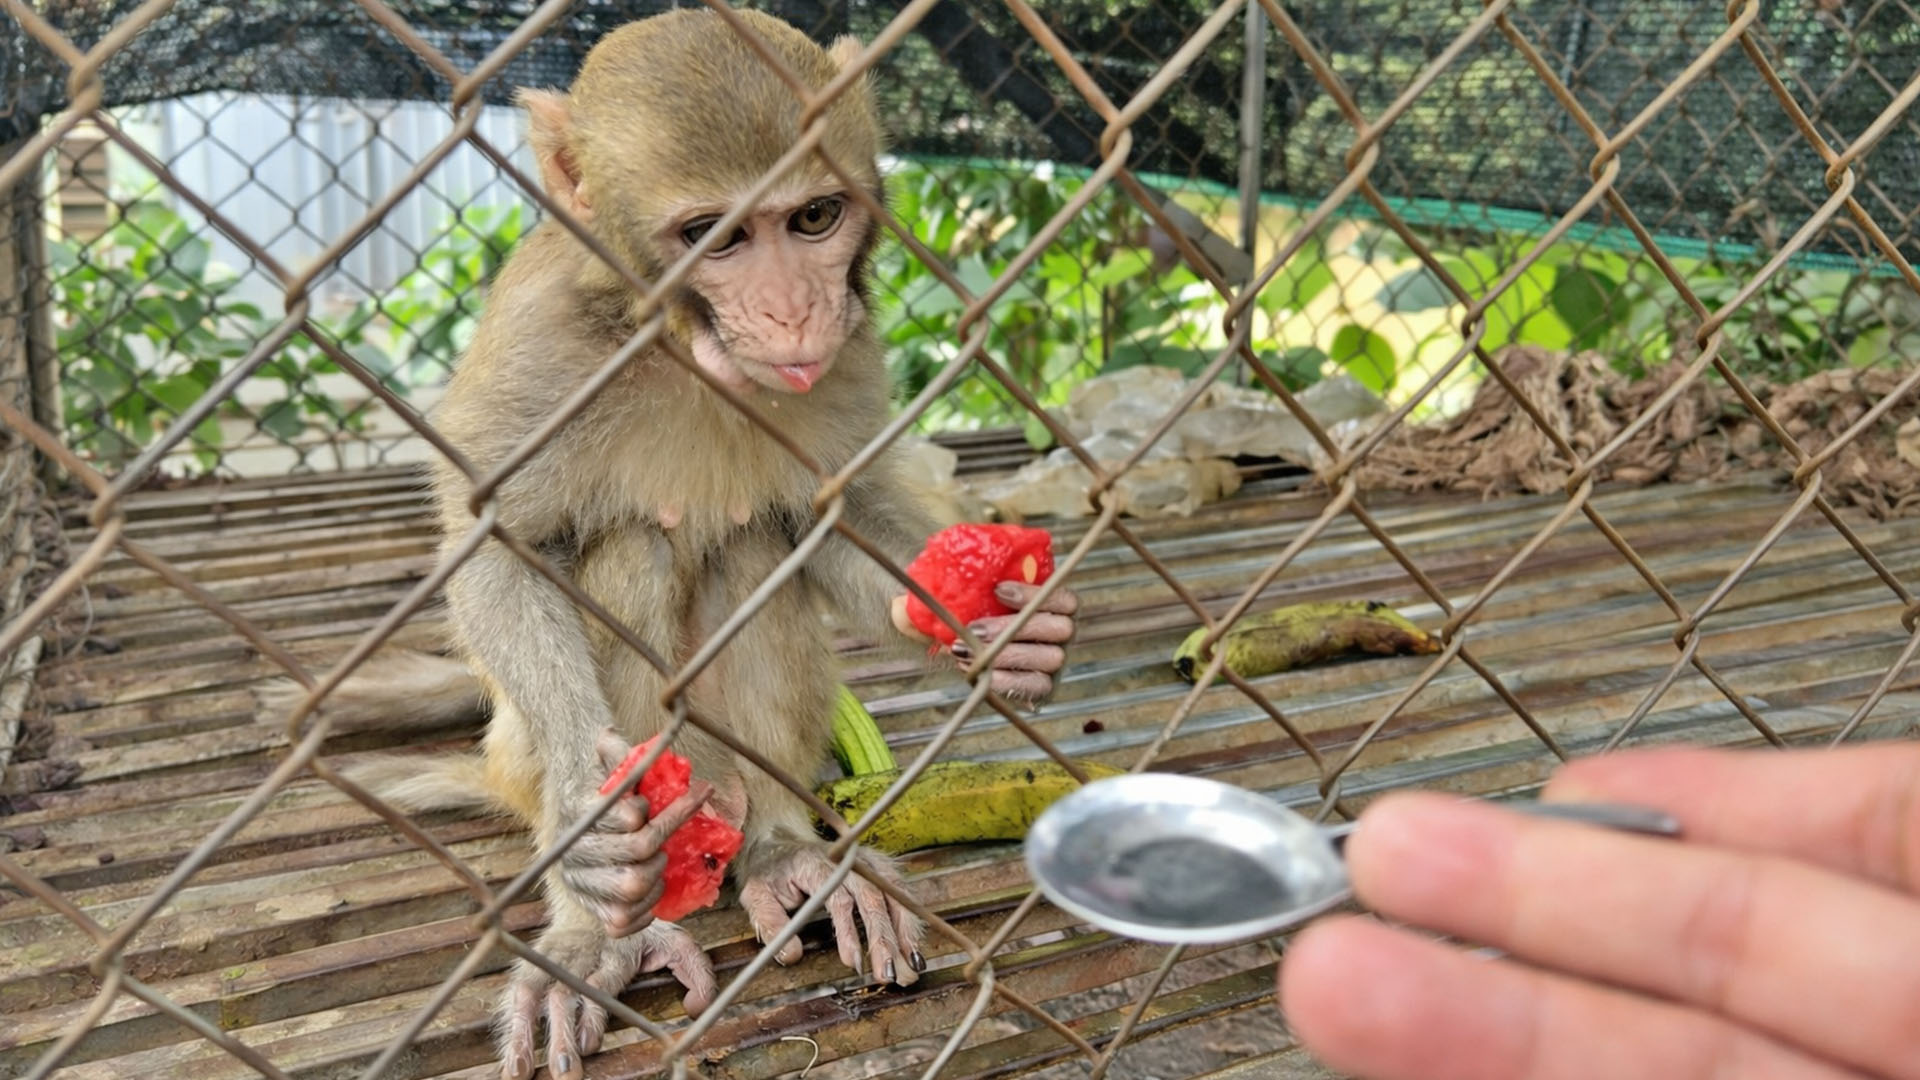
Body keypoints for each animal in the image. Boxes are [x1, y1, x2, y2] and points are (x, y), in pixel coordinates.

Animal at [264, 11, 1081, 1080]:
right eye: (716, 238)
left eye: (813, 218)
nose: (794, 311)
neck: (671, 345)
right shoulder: (541, 345)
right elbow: (496, 548)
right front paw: (589, 831)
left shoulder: (854, 346)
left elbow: (832, 512)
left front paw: (1012, 632)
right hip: (566, 760)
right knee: (634, 550)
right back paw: (600, 938)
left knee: (746, 547)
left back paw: (782, 851)